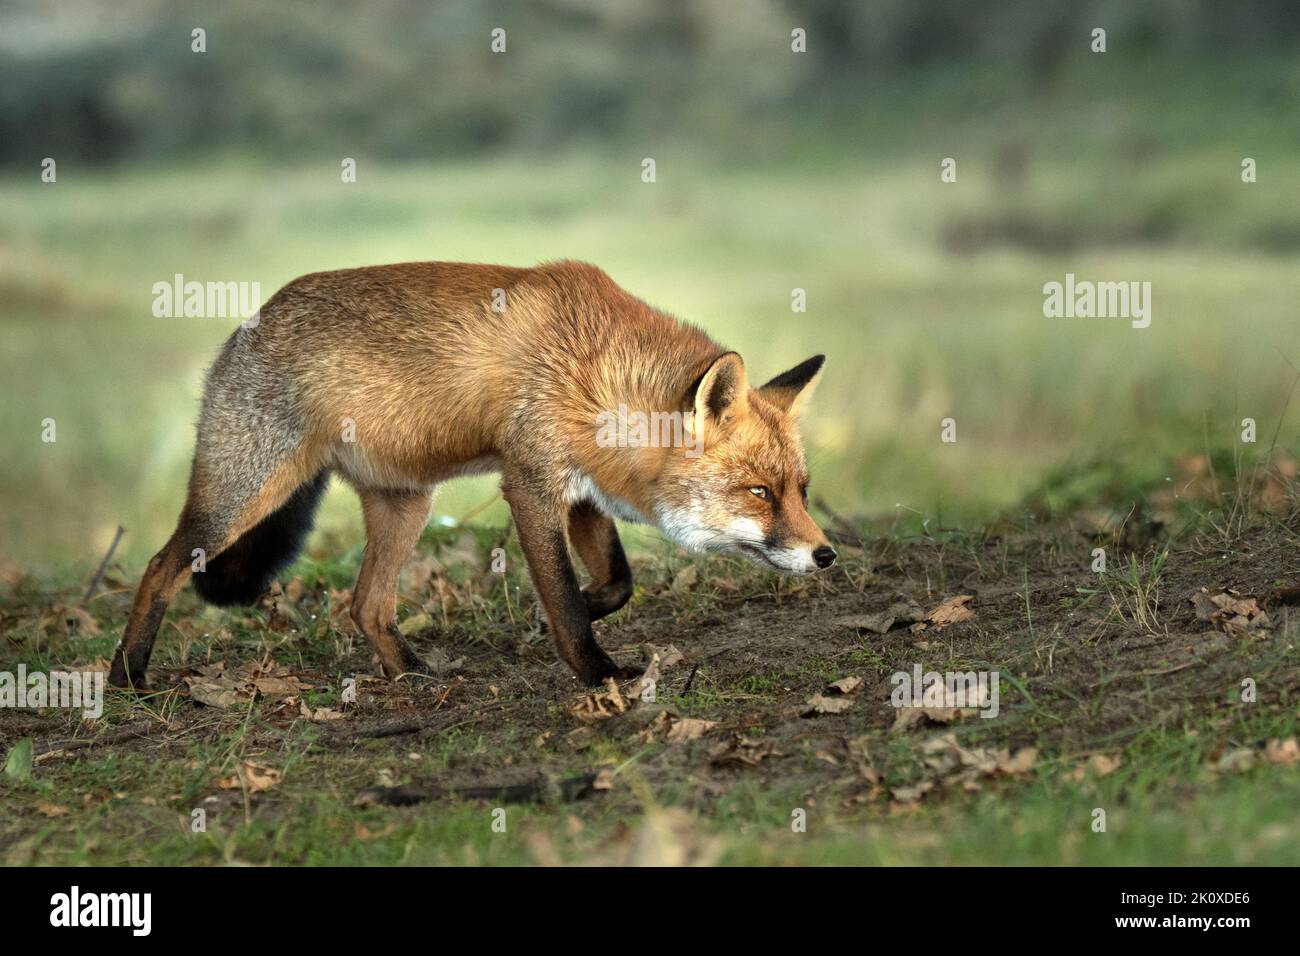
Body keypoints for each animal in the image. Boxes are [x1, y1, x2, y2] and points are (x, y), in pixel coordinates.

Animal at [108, 260, 836, 690]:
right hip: (244, 496)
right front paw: (598, 673)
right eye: (759, 493)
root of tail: (246, 325)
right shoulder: (530, 481)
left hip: (406, 505)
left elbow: (616, 581)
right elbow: (567, 600)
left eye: (800, 490)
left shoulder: (582, 492)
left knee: (364, 605)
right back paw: (127, 677)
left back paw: (410, 673)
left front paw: (558, 621)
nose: (826, 554)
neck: (596, 369)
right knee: (158, 567)